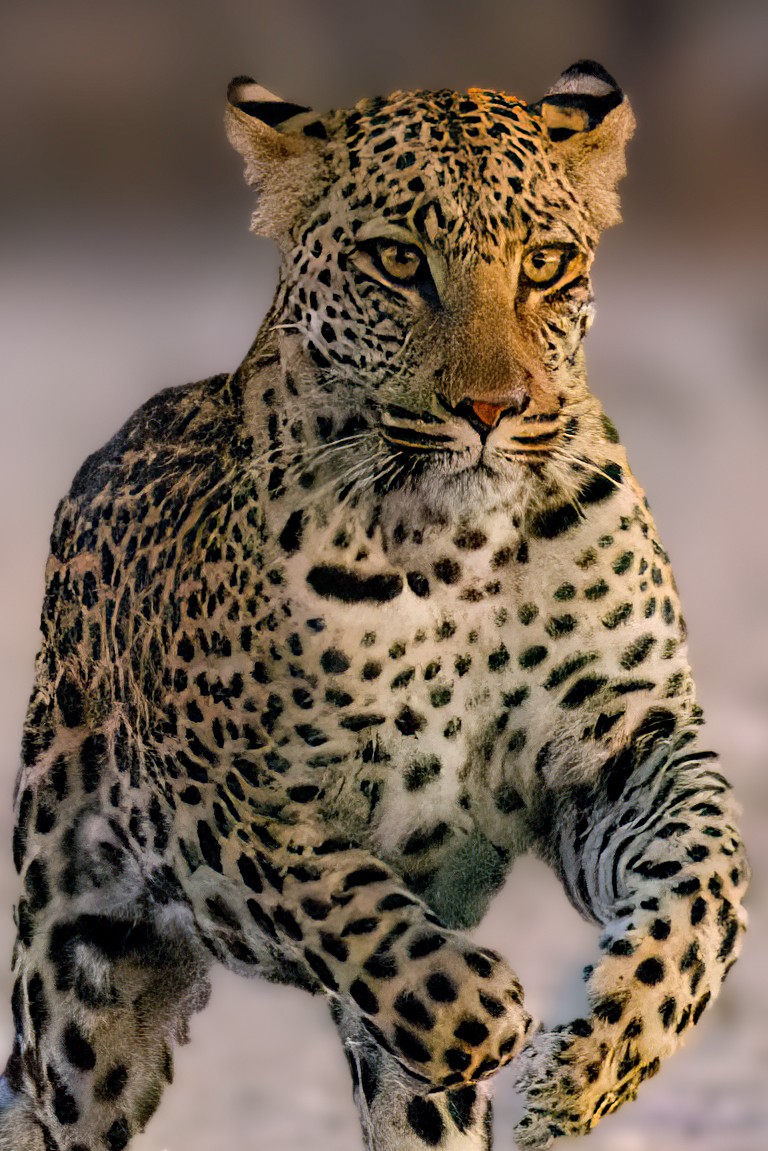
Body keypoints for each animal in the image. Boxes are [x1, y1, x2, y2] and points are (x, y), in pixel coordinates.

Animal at [0, 59, 749, 1151]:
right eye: (396, 261)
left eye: (547, 263)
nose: (493, 410)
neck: (466, 544)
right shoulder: (230, 799)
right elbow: (344, 902)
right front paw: (478, 1006)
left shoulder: (624, 743)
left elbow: (711, 879)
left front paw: (593, 1063)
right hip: (79, 991)